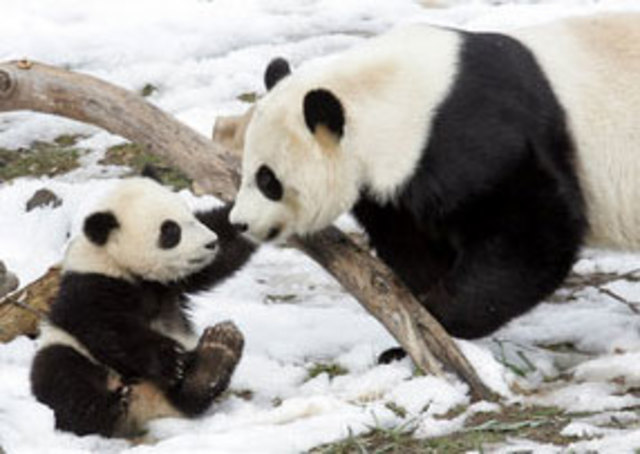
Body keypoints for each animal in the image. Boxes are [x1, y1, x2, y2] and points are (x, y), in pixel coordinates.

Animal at [30, 177, 256, 437]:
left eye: (190, 215)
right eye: (171, 230)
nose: (211, 243)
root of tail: (146, 405)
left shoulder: (176, 282)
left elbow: (227, 245)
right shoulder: (90, 285)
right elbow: (108, 329)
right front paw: (170, 361)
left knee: (188, 396)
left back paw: (218, 352)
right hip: (67, 350)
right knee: (63, 379)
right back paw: (109, 408)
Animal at [229, 14, 640, 340]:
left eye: (268, 180)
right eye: (247, 168)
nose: (239, 223)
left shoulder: (479, 137)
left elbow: (536, 234)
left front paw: (444, 317)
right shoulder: (399, 183)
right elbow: (412, 244)